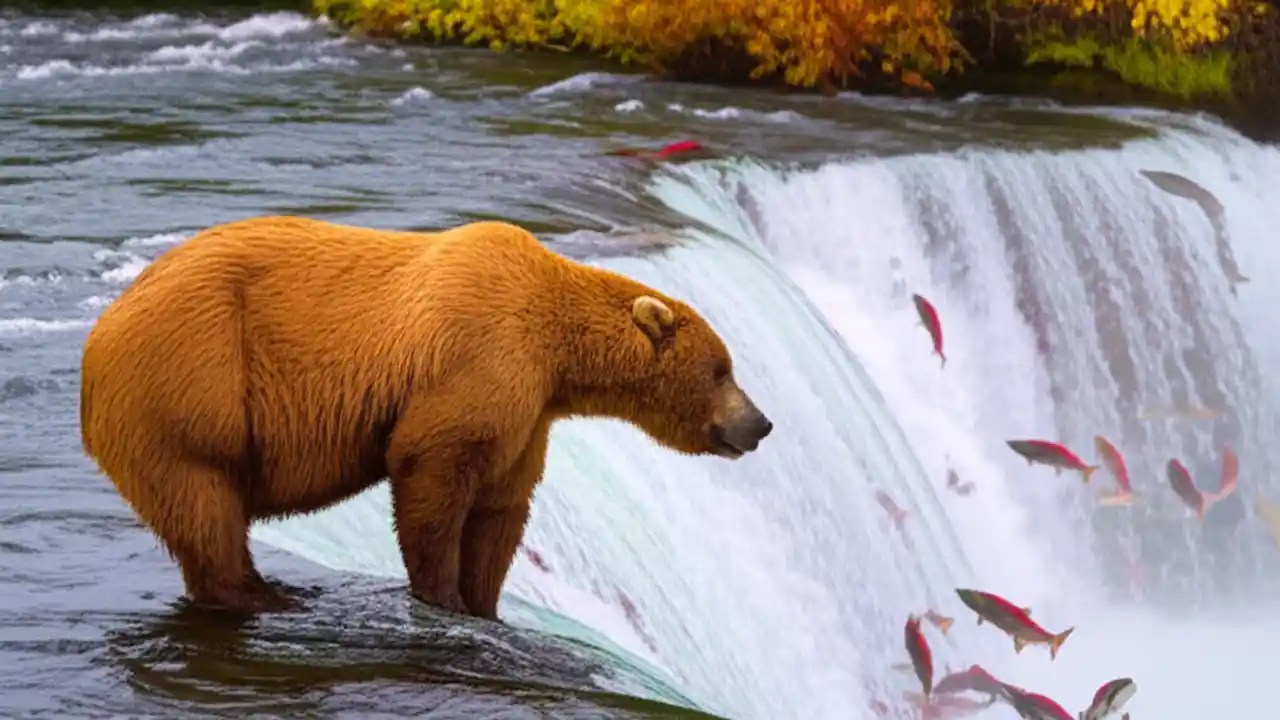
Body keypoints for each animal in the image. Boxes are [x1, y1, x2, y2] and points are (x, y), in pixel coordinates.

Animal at [79, 216, 773, 618]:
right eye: (722, 369)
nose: (761, 424)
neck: (555, 349)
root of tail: (99, 334)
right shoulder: (479, 359)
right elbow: (433, 473)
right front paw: (442, 596)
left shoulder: (529, 414)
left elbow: (501, 508)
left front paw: (484, 603)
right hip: (195, 377)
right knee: (205, 500)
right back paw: (262, 593)